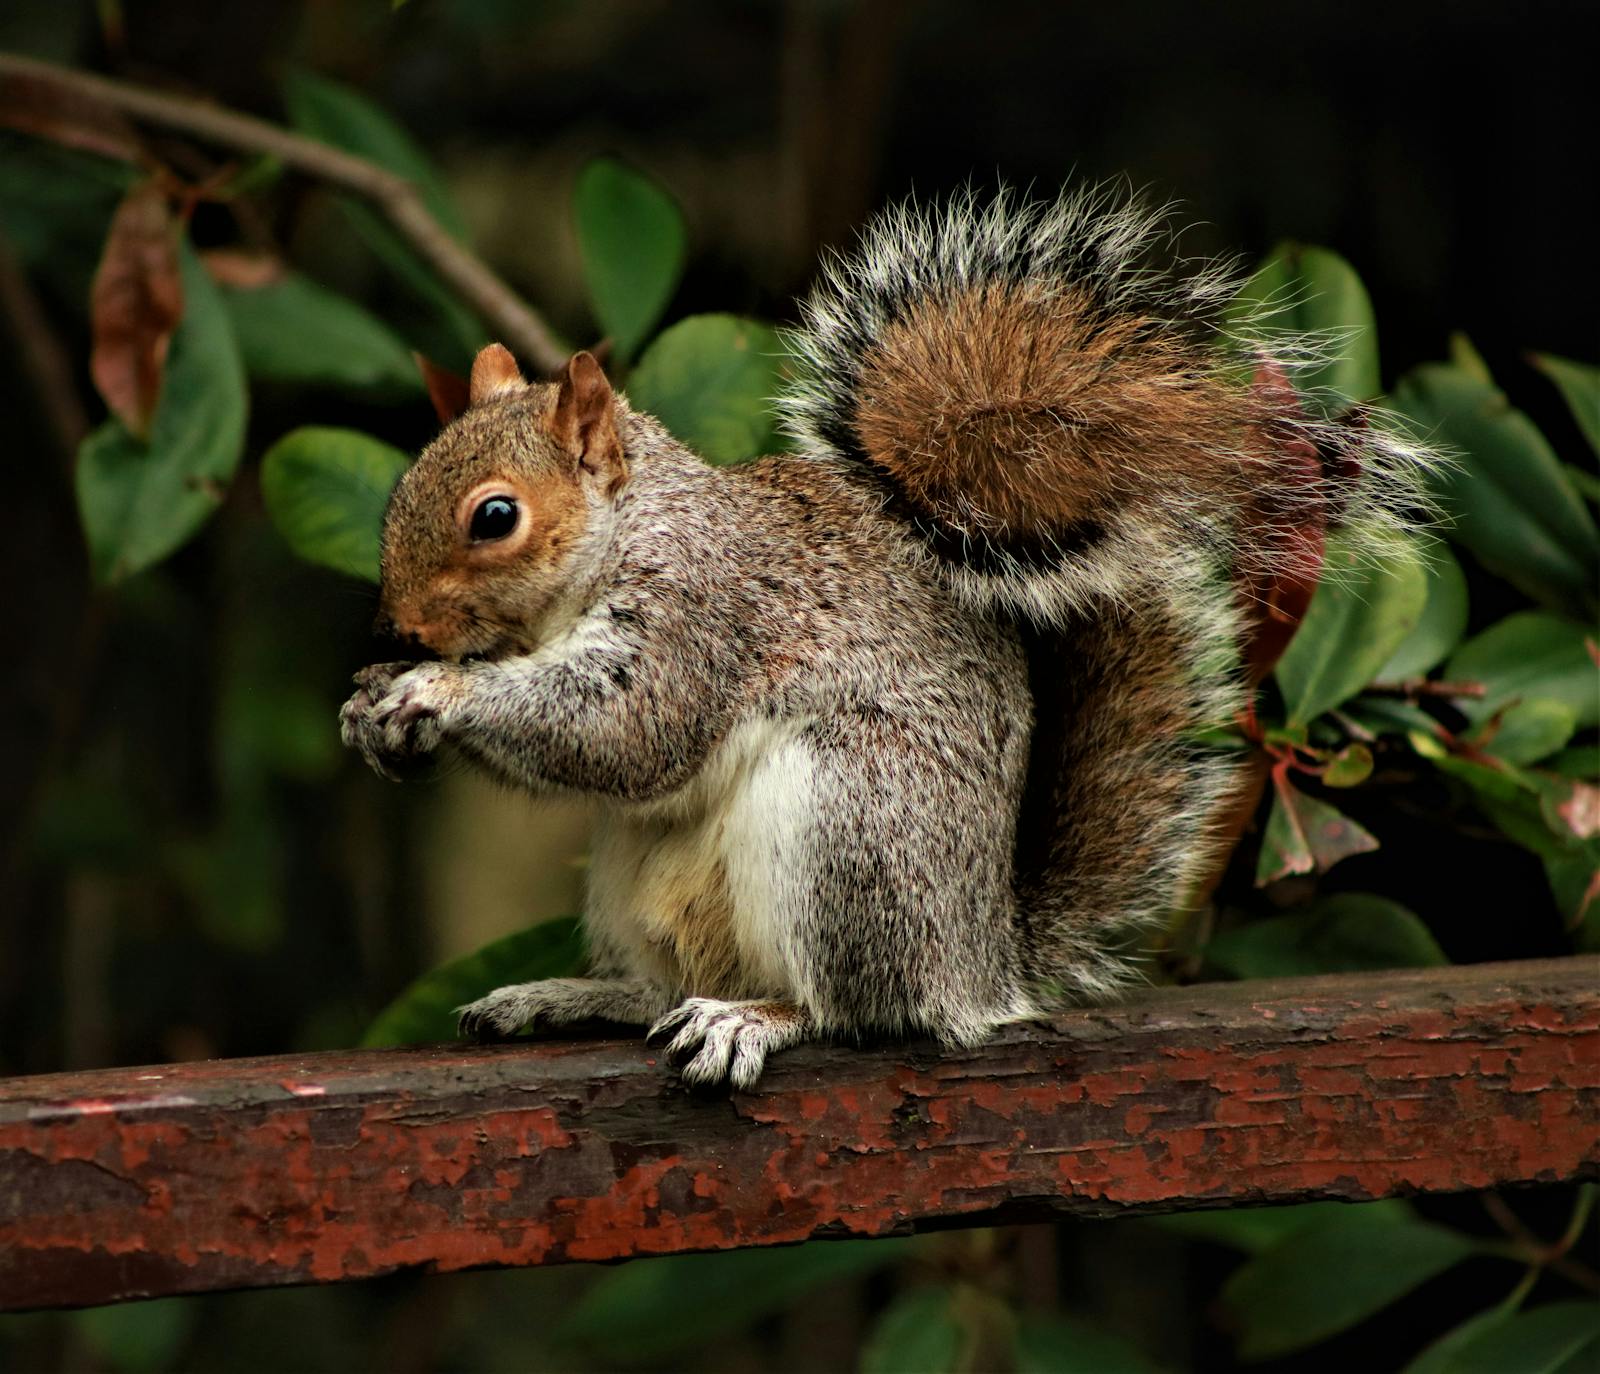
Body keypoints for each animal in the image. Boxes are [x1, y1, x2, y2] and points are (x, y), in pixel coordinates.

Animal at [340, 185, 1426, 1089]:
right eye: (407, 479)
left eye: (495, 517)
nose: (398, 625)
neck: (618, 542)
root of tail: (984, 961)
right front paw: (373, 704)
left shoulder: (705, 614)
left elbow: (627, 730)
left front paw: (434, 691)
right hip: (634, 870)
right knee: (659, 986)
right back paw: (565, 996)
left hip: (850, 824)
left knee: (859, 1011)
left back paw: (755, 1018)